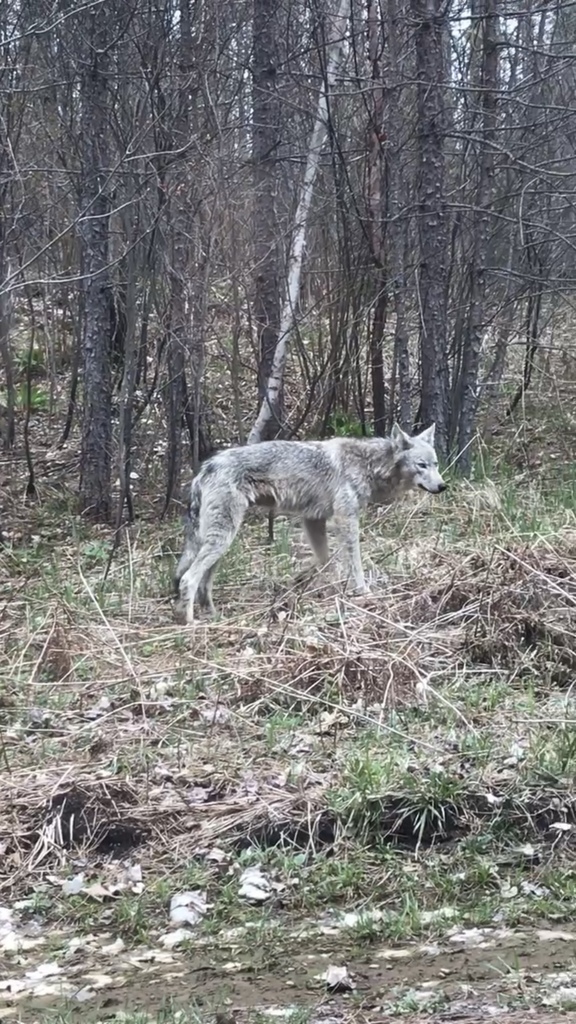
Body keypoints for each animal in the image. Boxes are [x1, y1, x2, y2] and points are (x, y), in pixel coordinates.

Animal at [174, 423, 446, 622]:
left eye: (435, 464)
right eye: (421, 465)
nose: (443, 486)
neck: (367, 464)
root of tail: (205, 468)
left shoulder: (313, 519)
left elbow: (322, 561)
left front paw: (302, 579)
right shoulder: (346, 519)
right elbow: (354, 563)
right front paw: (363, 593)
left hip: (222, 542)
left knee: (203, 584)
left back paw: (214, 616)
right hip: (223, 538)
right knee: (188, 579)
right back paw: (191, 624)